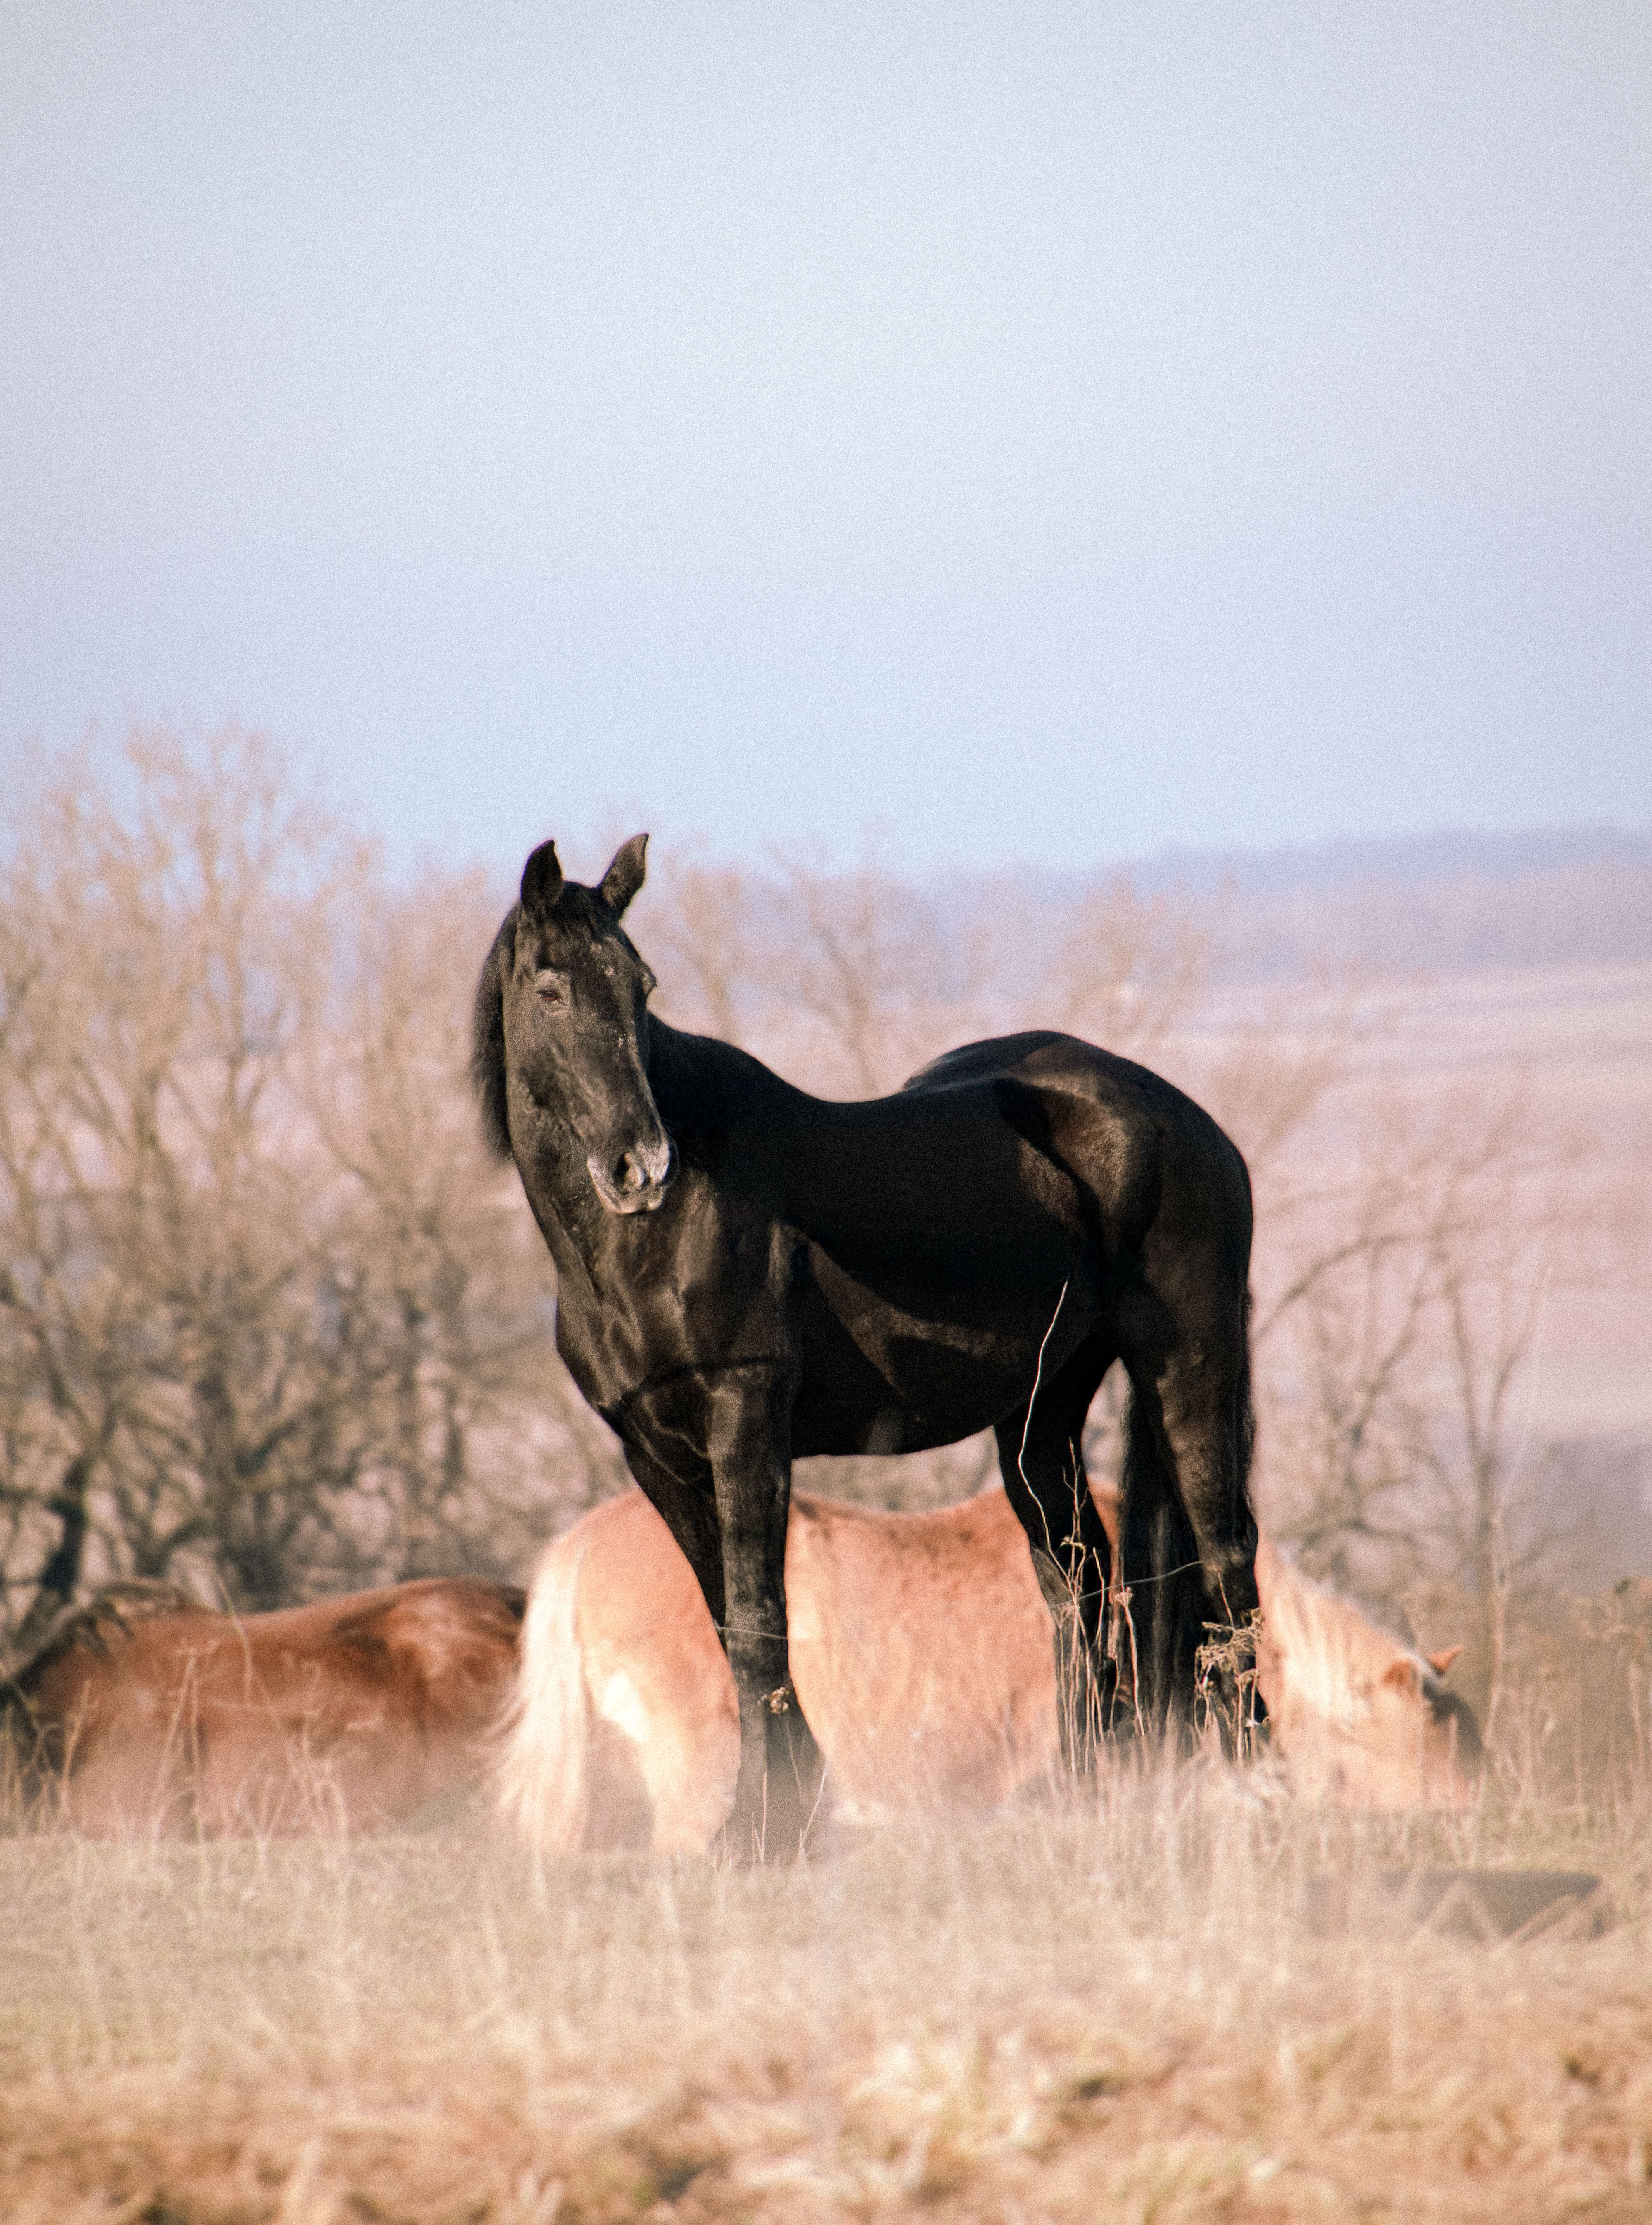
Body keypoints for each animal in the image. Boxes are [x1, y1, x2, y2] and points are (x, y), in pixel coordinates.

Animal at [473, 835, 1260, 1856]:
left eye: (640, 986)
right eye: (551, 989)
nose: (641, 1167)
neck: (649, 1242)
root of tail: (1184, 1121)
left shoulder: (745, 1420)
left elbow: (758, 1618)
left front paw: (761, 1830)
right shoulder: (653, 1449)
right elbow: (726, 1619)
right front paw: (783, 1818)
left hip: (1190, 1370)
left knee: (1224, 1554)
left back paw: (1256, 1779)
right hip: (1040, 1413)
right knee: (1080, 1581)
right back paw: (1085, 1791)